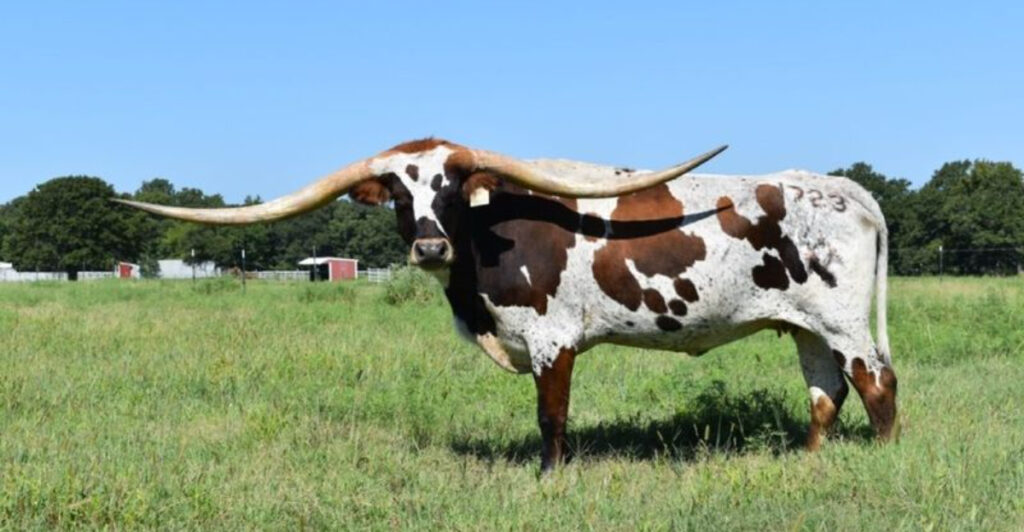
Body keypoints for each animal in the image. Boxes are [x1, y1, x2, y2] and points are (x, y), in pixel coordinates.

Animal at [116, 138, 897, 471]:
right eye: (398, 193)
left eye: (452, 189)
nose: (430, 246)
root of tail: (841, 187)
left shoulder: (552, 340)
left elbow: (551, 417)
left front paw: (551, 477)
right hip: (805, 326)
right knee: (825, 393)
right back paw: (808, 460)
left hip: (844, 322)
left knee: (876, 383)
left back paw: (883, 456)